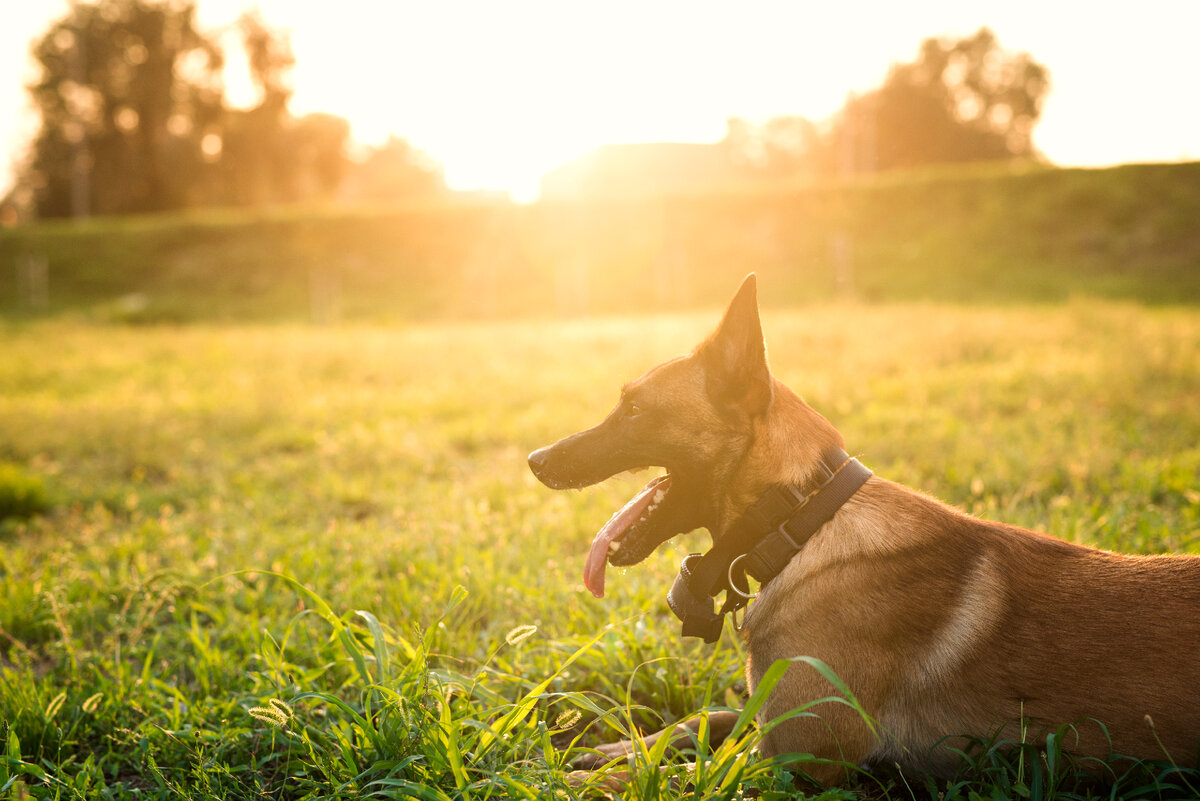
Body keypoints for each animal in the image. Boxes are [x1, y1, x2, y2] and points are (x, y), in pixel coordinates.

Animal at [530, 273, 1200, 781]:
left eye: (633, 408)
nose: (536, 460)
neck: (801, 523)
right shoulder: (771, 717)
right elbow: (703, 719)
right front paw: (616, 747)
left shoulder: (796, 757)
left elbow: (683, 771)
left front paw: (581, 781)